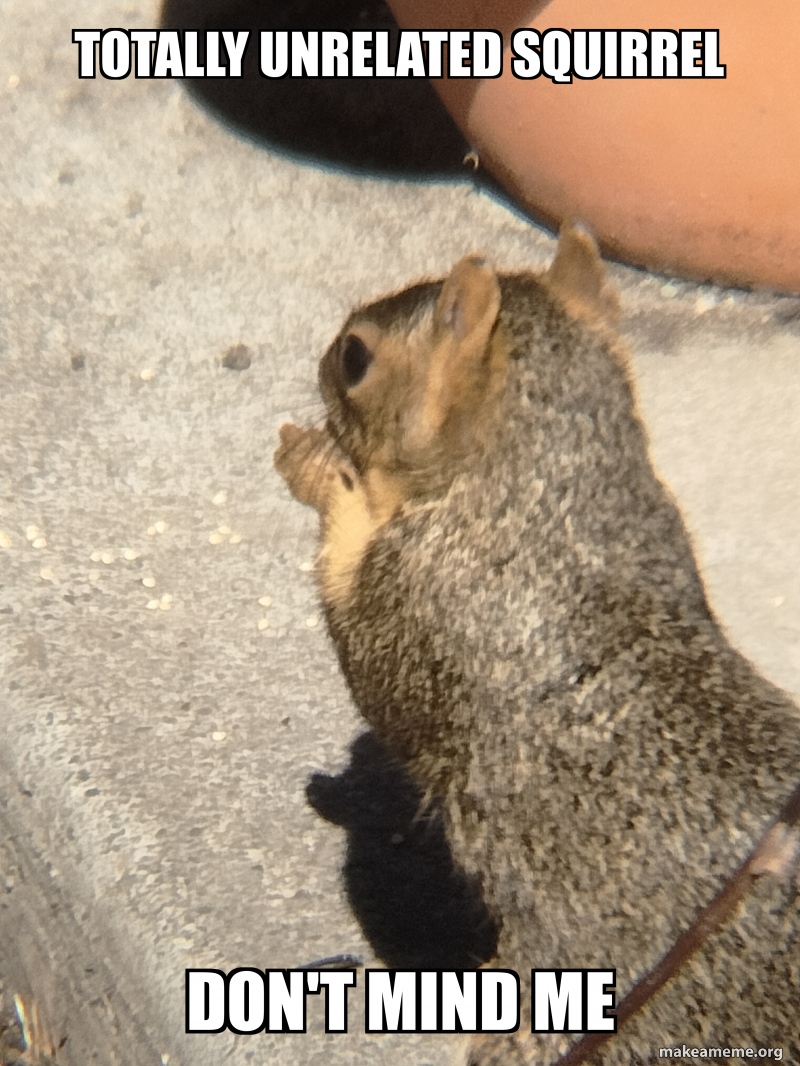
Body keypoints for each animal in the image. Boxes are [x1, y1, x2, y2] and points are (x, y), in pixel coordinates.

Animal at [274, 228, 800, 1064]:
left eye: (356, 358)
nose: (325, 356)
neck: (552, 502)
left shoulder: (431, 608)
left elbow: (376, 671)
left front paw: (324, 475)